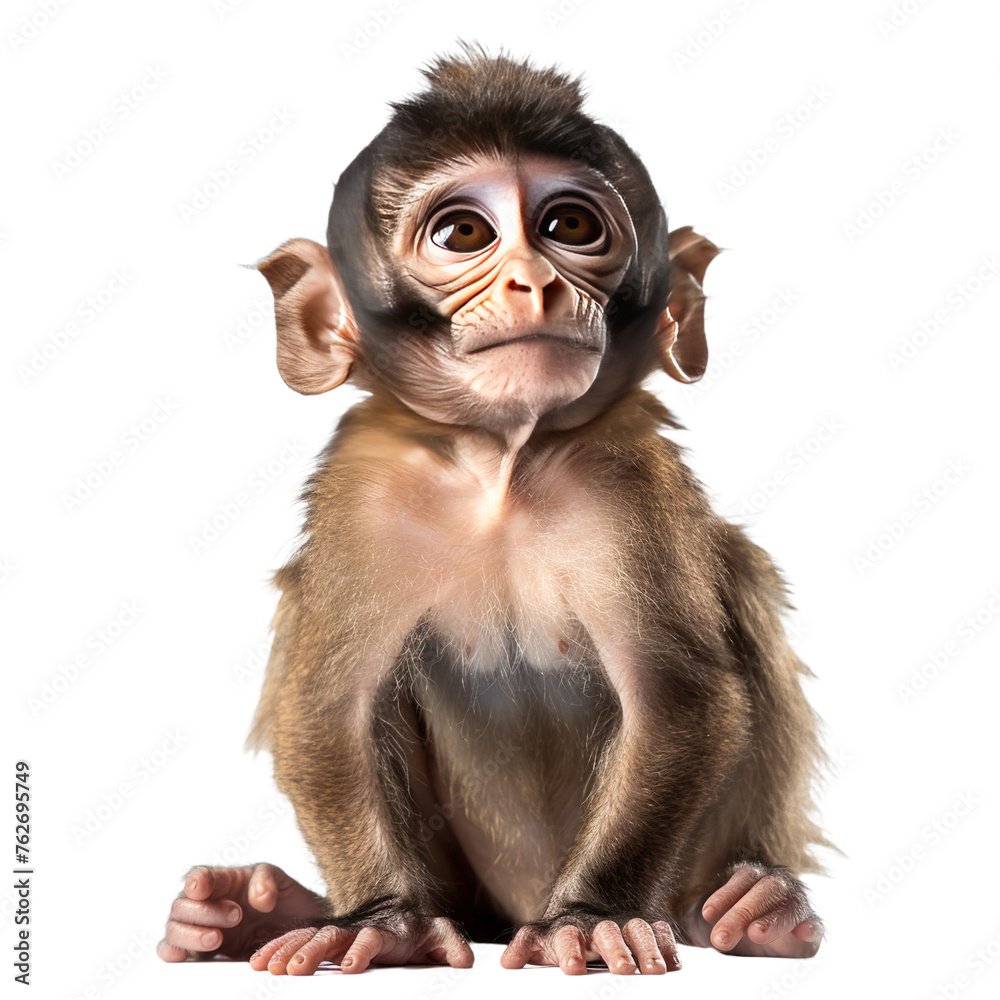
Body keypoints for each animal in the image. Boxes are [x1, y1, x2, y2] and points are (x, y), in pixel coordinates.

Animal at [158, 47, 827, 977]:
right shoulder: (365, 489)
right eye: (464, 235)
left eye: (572, 225)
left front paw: (591, 915)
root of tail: (503, 915)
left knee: (739, 571)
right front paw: (384, 919)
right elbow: (329, 707)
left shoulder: (627, 483)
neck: (500, 467)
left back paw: (754, 906)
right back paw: (244, 909)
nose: (535, 281)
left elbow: (679, 697)